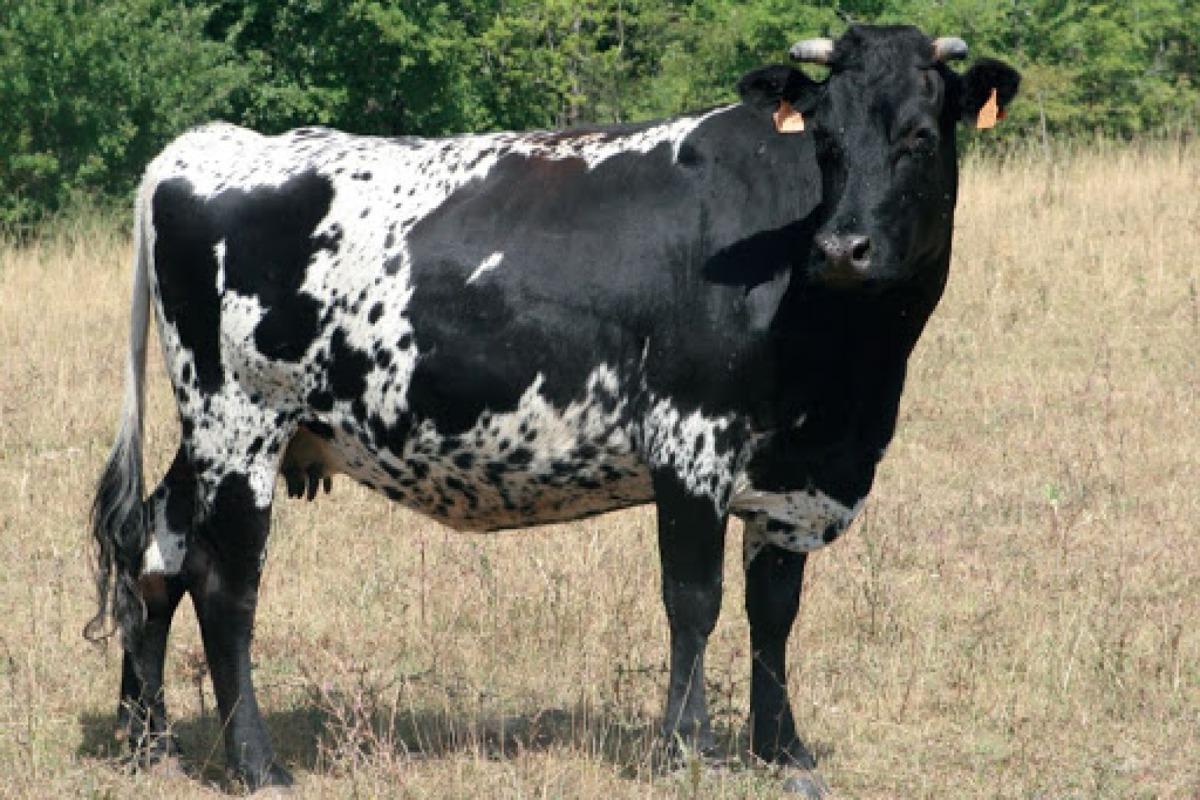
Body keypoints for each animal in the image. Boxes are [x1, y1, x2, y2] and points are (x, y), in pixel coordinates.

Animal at [88, 24, 1019, 795]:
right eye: (825, 142)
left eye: (918, 136)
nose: (842, 248)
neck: (847, 383)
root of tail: (208, 146)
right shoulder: (691, 443)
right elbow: (695, 599)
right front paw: (688, 750)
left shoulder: (794, 477)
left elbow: (774, 612)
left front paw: (782, 751)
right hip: (240, 421)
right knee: (224, 583)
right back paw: (256, 766)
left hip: (216, 434)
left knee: (156, 549)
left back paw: (147, 741)